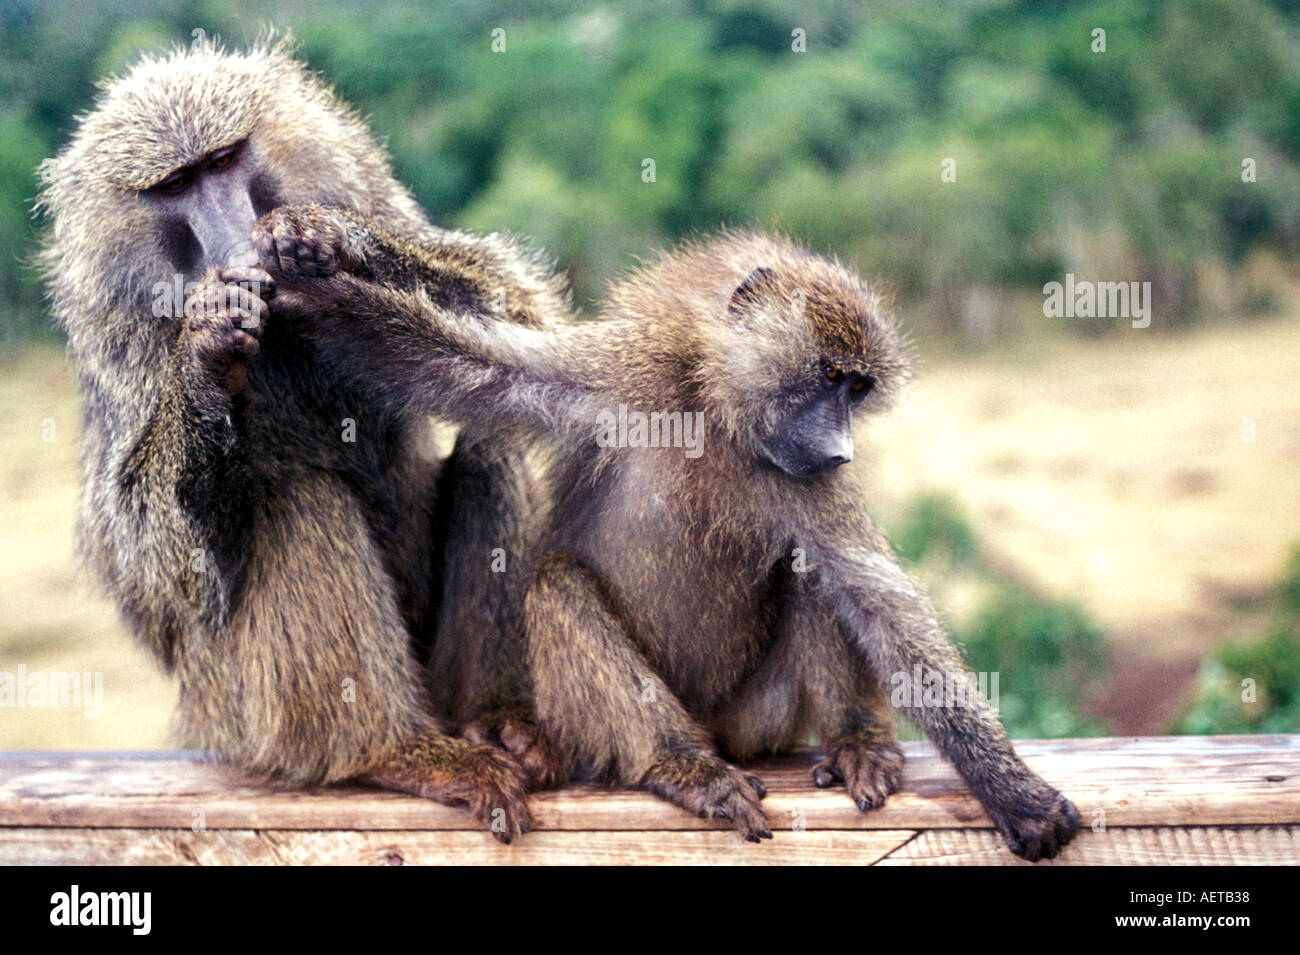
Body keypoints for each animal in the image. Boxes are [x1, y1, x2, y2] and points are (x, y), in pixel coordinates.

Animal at [36, 38, 574, 841]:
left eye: (225, 159)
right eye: (177, 184)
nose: (235, 242)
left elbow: (516, 330)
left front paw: (325, 237)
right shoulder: (119, 345)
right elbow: (158, 566)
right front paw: (203, 351)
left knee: (497, 438)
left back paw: (501, 720)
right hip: (241, 712)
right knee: (295, 494)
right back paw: (397, 753)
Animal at [249, 211, 1081, 860]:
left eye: (858, 388)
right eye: (828, 378)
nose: (843, 449)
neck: (714, 417)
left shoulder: (809, 484)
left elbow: (876, 601)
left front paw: (1016, 793)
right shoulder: (613, 380)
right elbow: (459, 364)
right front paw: (318, 288)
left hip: (753, 716)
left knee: (810, 572)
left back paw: (856, 742)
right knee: (559, 584)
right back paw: (681, 768)